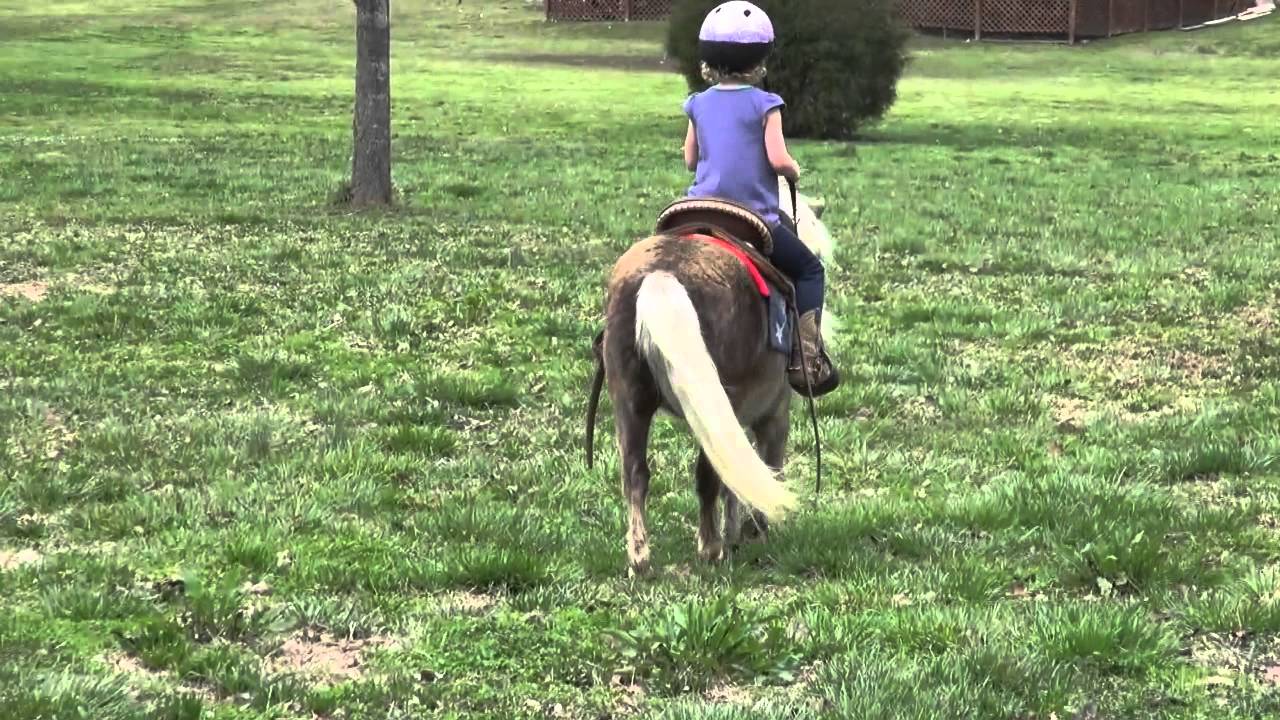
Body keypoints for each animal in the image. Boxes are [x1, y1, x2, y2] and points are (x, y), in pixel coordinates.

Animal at [585, 180, 837, 575]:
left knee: (635, 473)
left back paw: (640, 560)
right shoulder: (774, 413)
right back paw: (710, 548)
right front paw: (754, 532)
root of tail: (661, 275)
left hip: (630, 400)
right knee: (708, 473)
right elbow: (765, 465)